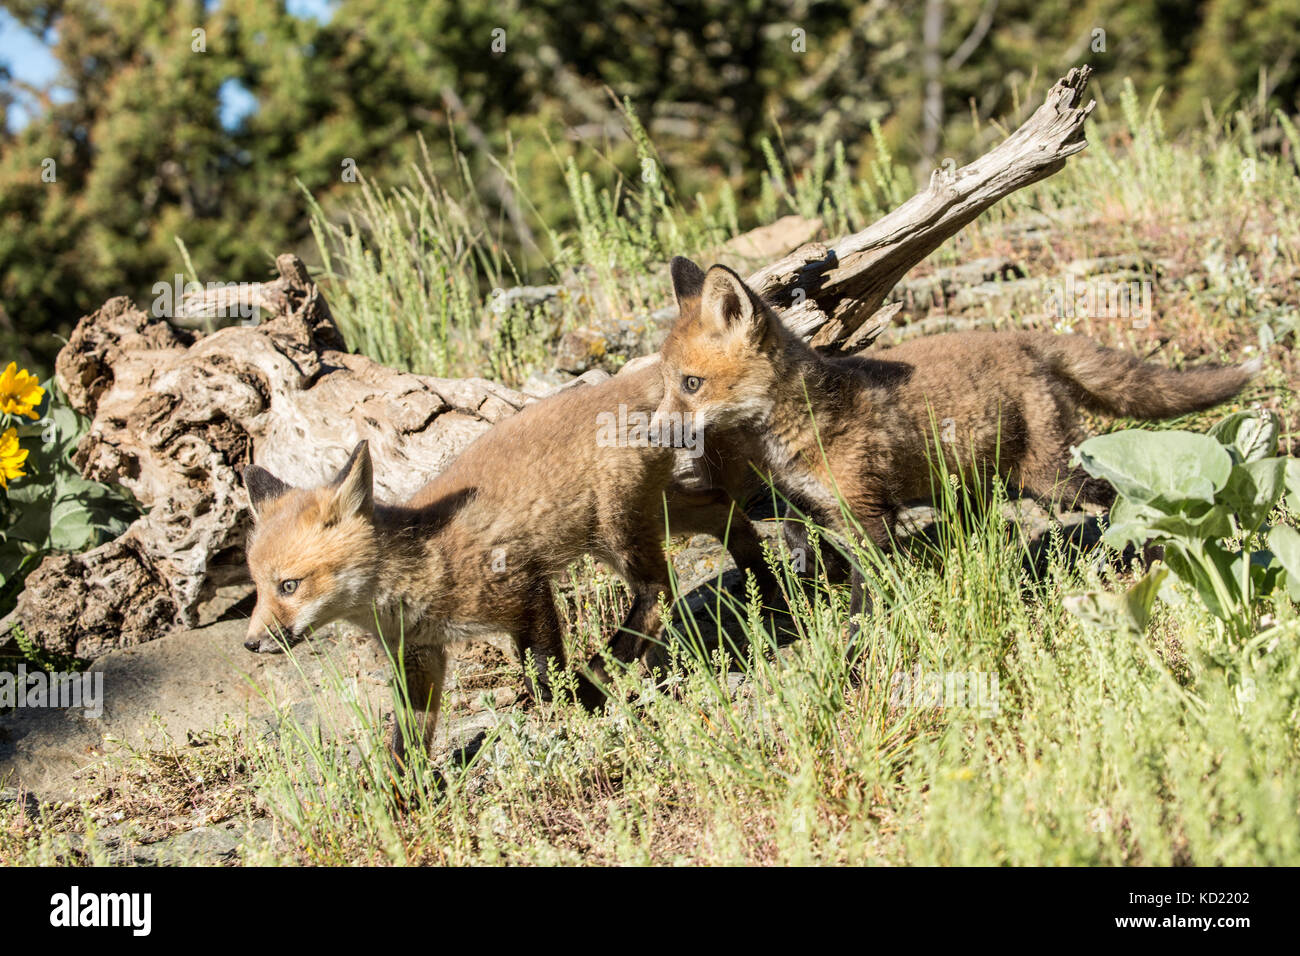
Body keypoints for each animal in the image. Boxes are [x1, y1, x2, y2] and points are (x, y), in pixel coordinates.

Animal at [240, 363, 774, 756]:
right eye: (259, 589)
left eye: (289, 585)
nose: (250, 644)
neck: (417, 571)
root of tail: (626, 380)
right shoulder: (420, 658)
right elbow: (406, 744)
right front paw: (403, 804)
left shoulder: (525, 592)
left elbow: (541, 678)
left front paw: (569, 707)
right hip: (652, 515)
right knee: (722, 510)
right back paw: (765, 587)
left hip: (617, 533)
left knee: (657, 592)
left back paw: (596, 677)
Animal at [654, 256, 1259, 620]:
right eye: (667, 384)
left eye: (691, 384)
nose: (655, 434)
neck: (798, 425)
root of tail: (1022, 338)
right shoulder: (820, 507)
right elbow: (815, 550)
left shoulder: (867, 513)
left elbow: (869, 590)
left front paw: (860, 643)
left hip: (1053, 477)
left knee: (1115, 496)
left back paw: (1153, 549)